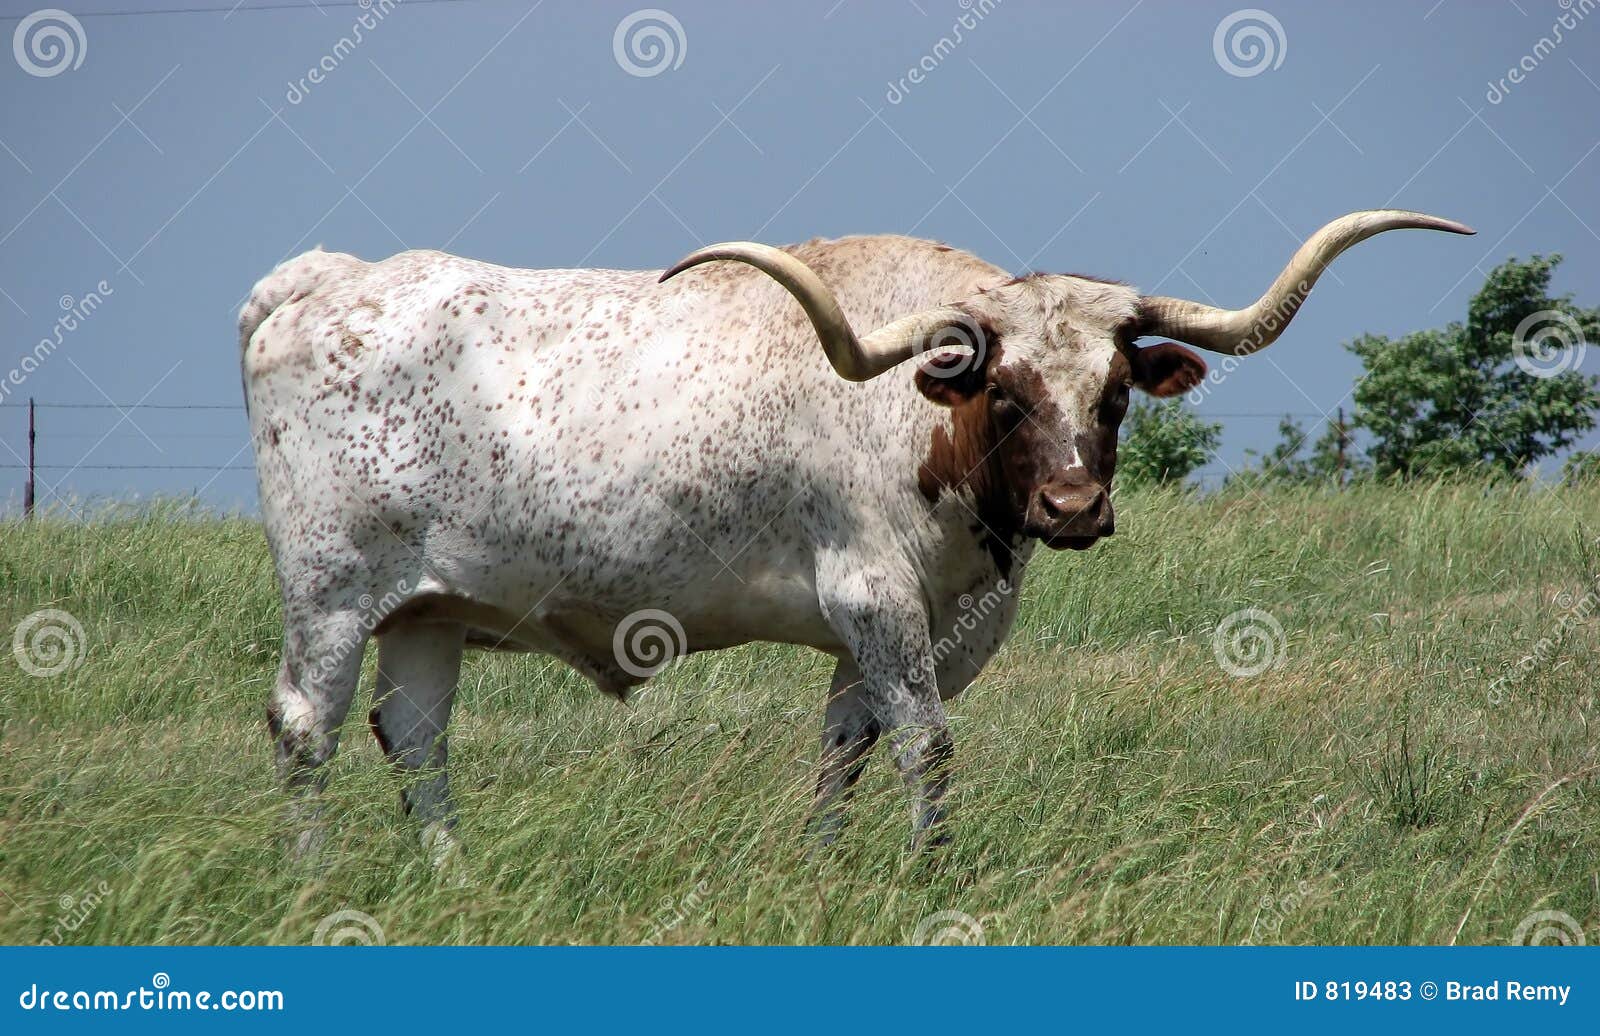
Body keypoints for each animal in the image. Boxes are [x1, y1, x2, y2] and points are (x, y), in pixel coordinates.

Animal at [239, 209, 1471, 860]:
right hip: (330, 591)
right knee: (306, 730)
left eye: (1117, 391)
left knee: (416, 738)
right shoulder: (876, 601)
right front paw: (930, 874)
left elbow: (846, 749)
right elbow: (926, 743)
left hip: (430, 609)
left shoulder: (898, 628)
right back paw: (315, 880)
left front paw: (825, 872)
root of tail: (321, 278)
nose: (1074, 509)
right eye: (1005, 392)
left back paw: (450, 875)